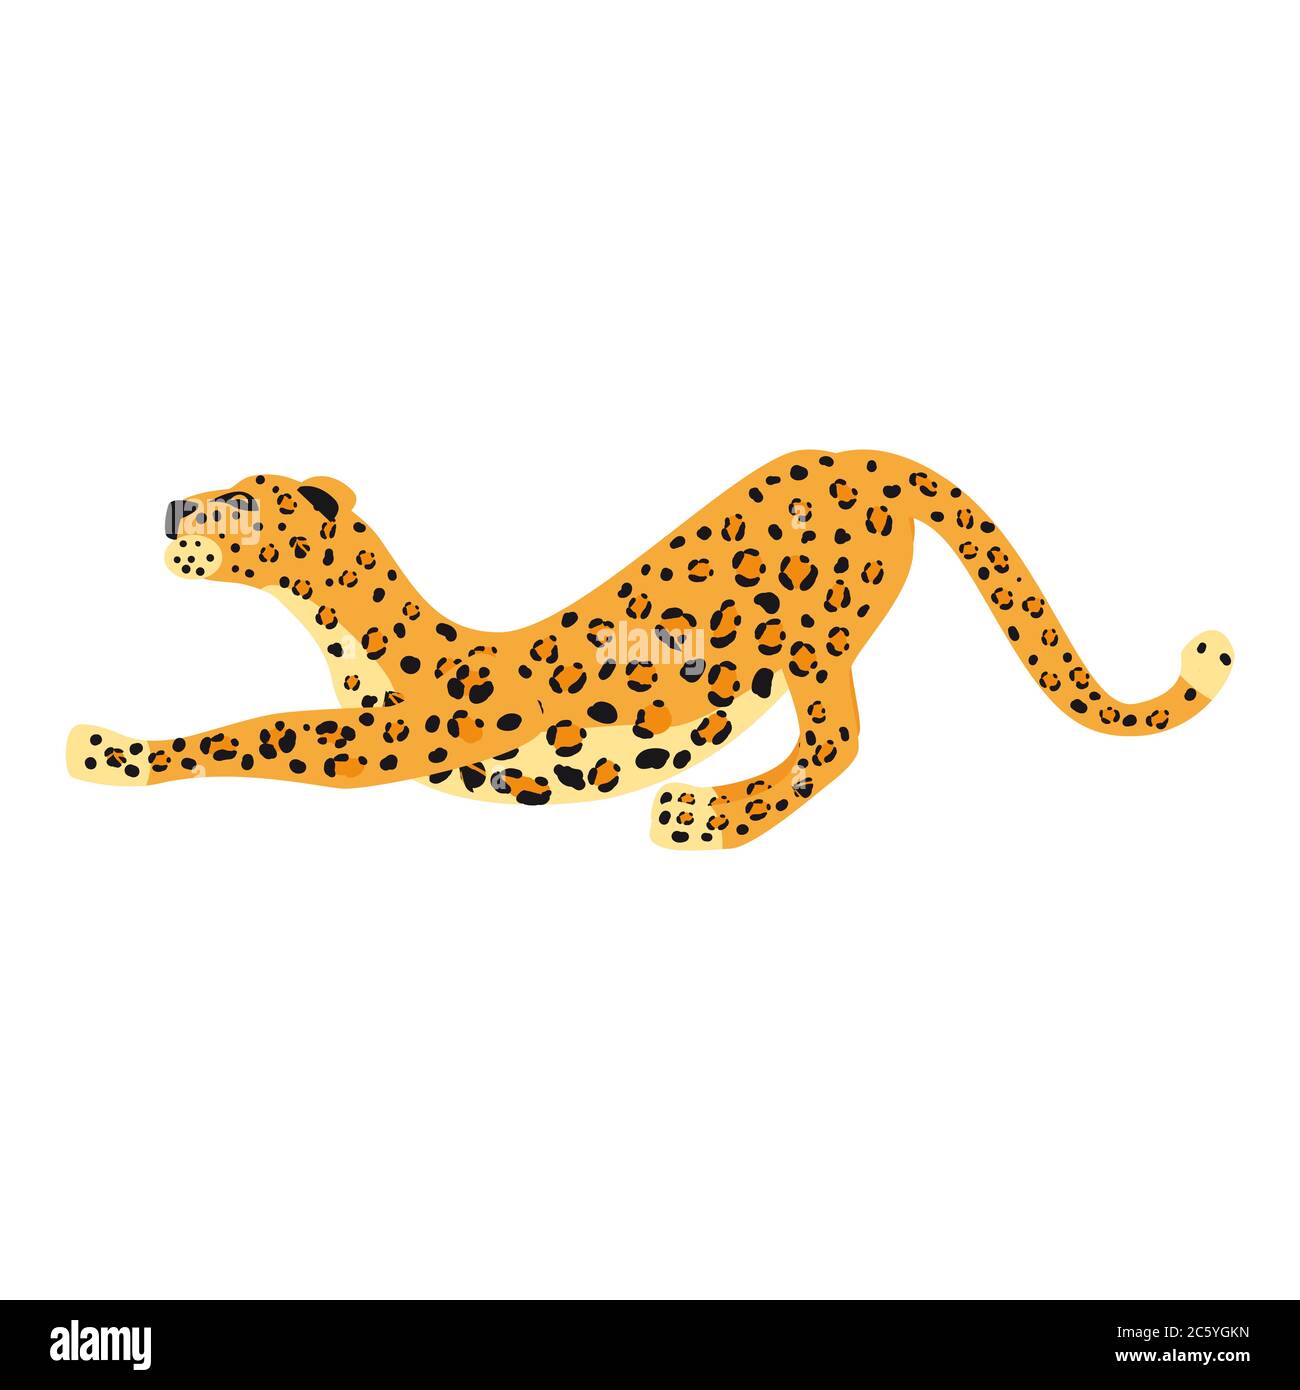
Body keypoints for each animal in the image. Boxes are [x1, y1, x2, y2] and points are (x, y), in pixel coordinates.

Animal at [67, 452, 1233, 849]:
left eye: (238, 504)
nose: (170, 506)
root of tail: (870, 456)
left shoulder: (395, 738)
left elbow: (255, 729)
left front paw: (109, 750)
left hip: (806, 632)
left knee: (836, 743)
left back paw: (705, 815)